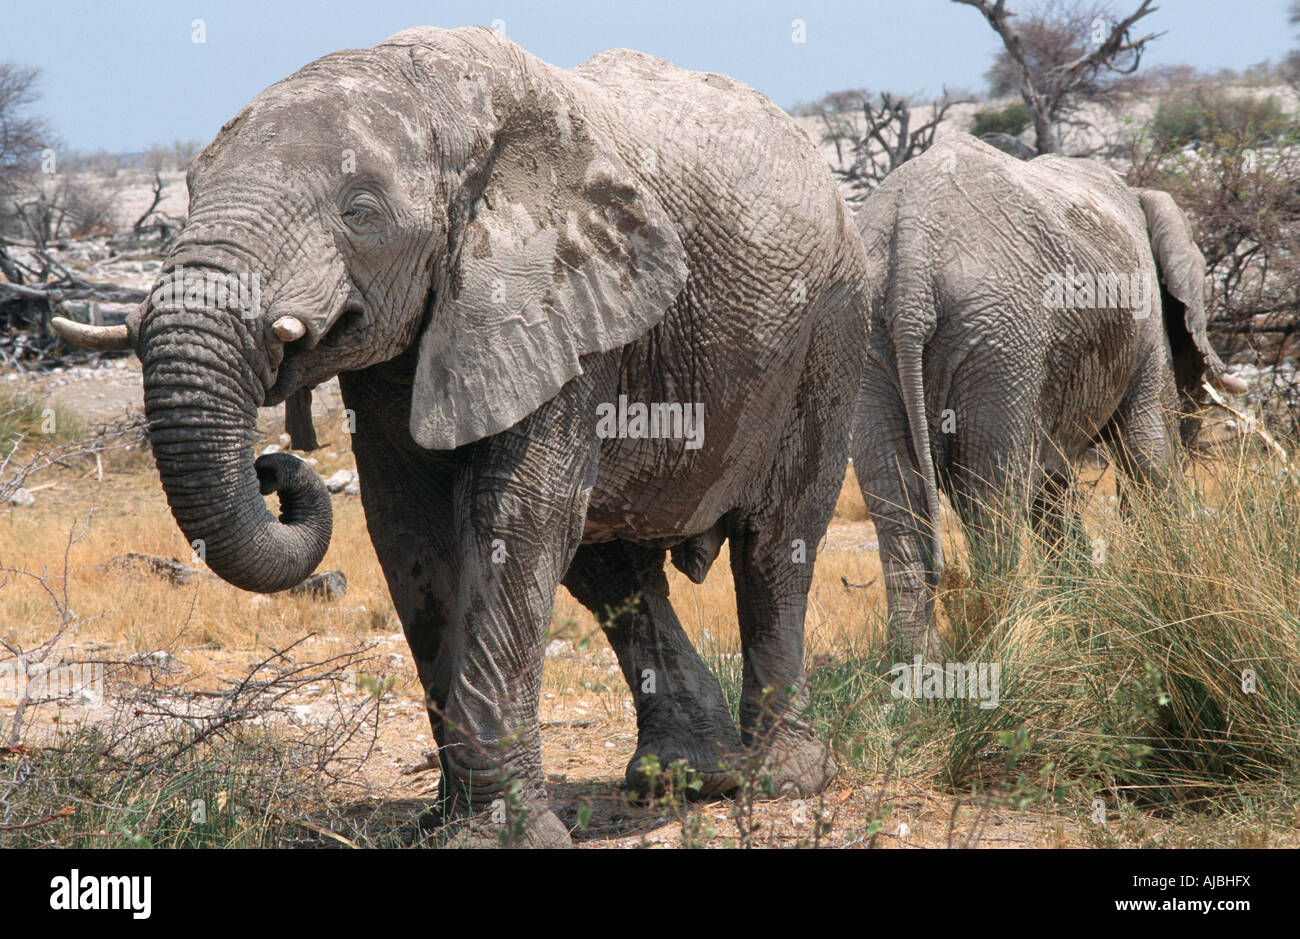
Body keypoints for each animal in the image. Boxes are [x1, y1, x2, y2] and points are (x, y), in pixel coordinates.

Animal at [55, 26, 870, 846]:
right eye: (190, 190)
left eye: (361, 212)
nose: (272, 469)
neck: (441, 103)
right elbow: (408, 529)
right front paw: (444, 825)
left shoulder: (558, 302)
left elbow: (514, 517)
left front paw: (500, 834)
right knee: (612, 570)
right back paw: (687, 779)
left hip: (830, 331)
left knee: (773, 547)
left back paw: (778, 780)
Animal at [851, 132, 1245, 659]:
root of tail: (910, 259)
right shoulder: (1143, 322)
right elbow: (1149, 455)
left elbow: (1052, 485)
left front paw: (1082, 610)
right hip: (1004, 339)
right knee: (991, 495)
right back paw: (1001, 639)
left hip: (870, 342)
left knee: (898, 502)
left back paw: (920, 666)